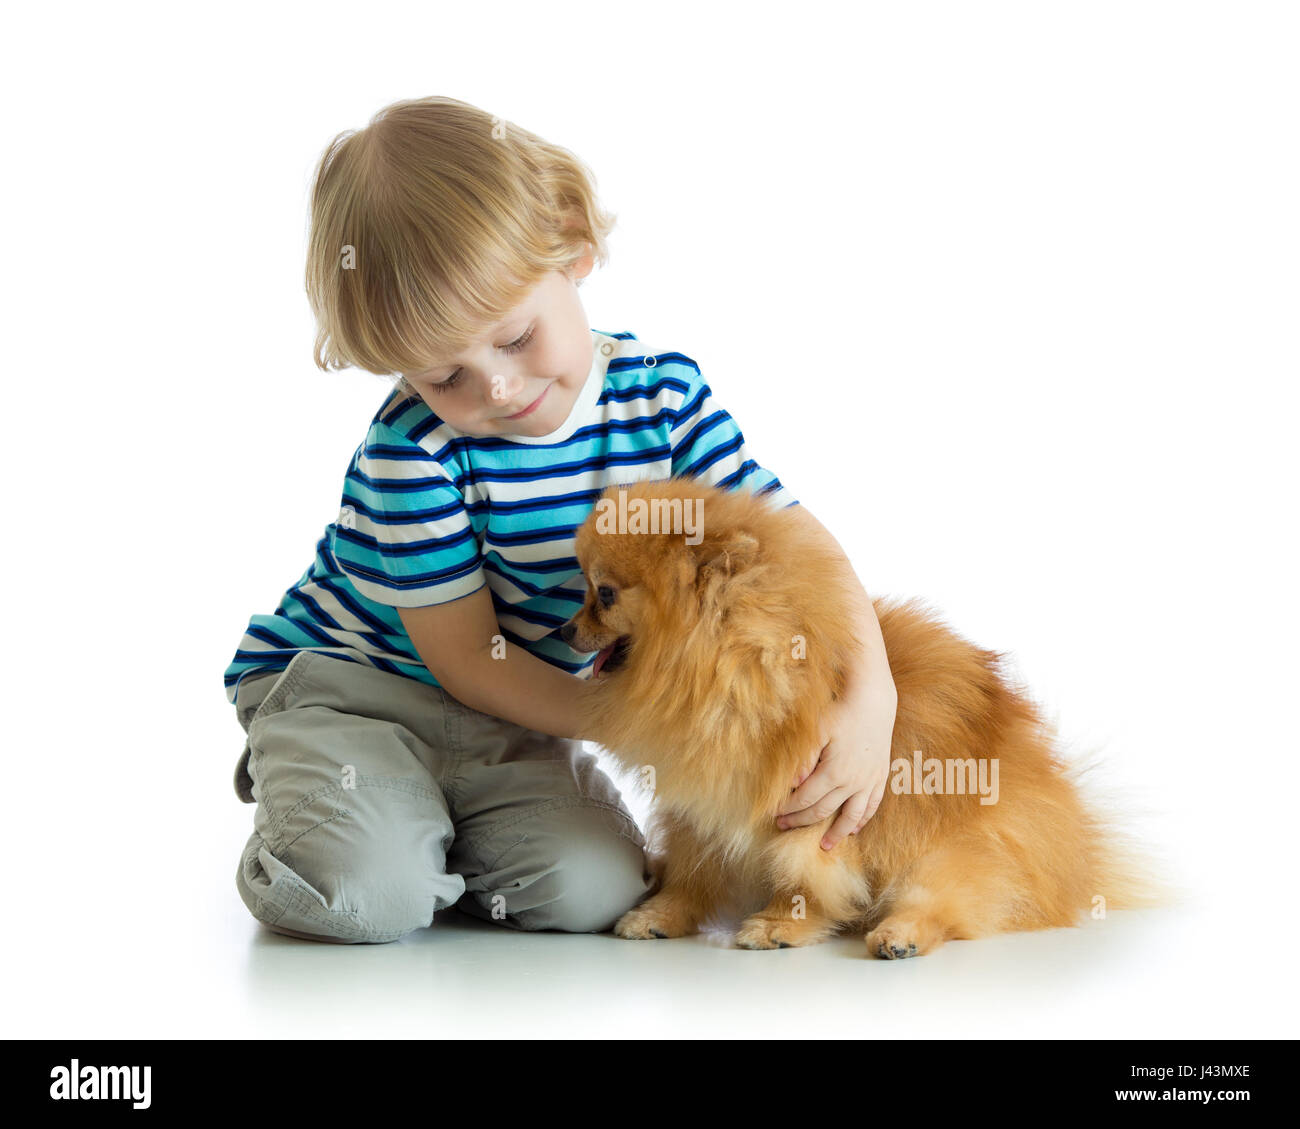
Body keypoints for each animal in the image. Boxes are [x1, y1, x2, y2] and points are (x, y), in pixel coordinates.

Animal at [564, 476, 1164, 962]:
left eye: (605, 594)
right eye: (586, 587)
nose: (566, 630)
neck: (737, 661)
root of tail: (1078, 854)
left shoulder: (816, 800)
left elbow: (803, 870)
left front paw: (784, 922)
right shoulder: (702, 798)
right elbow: (694, 869)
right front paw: (662, 913)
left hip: (955, 850)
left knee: (952, 899)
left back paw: (901, 934)